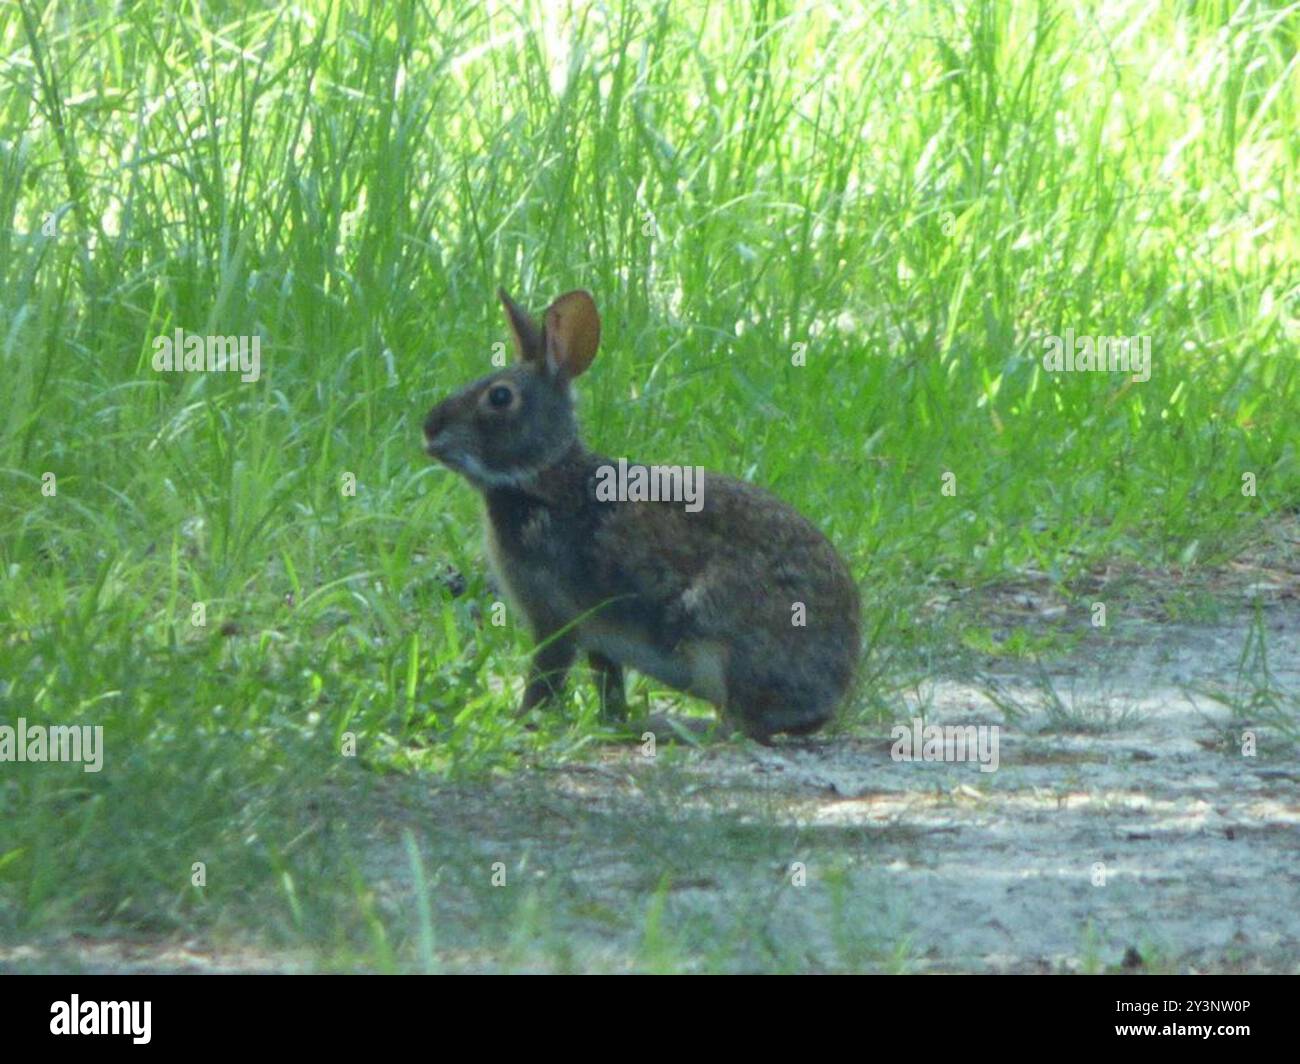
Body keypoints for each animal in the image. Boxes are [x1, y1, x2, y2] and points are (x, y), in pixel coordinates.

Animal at [422, 288, 861, 742]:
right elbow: (607, 681)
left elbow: (547, 675)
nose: (429, 428)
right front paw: (608, 720)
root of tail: (831, 691)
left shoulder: (555, 616)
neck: (546, 476)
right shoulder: (599, 639)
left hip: (715, 635)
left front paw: (522, 719)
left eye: (499, 397)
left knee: (740, 725)